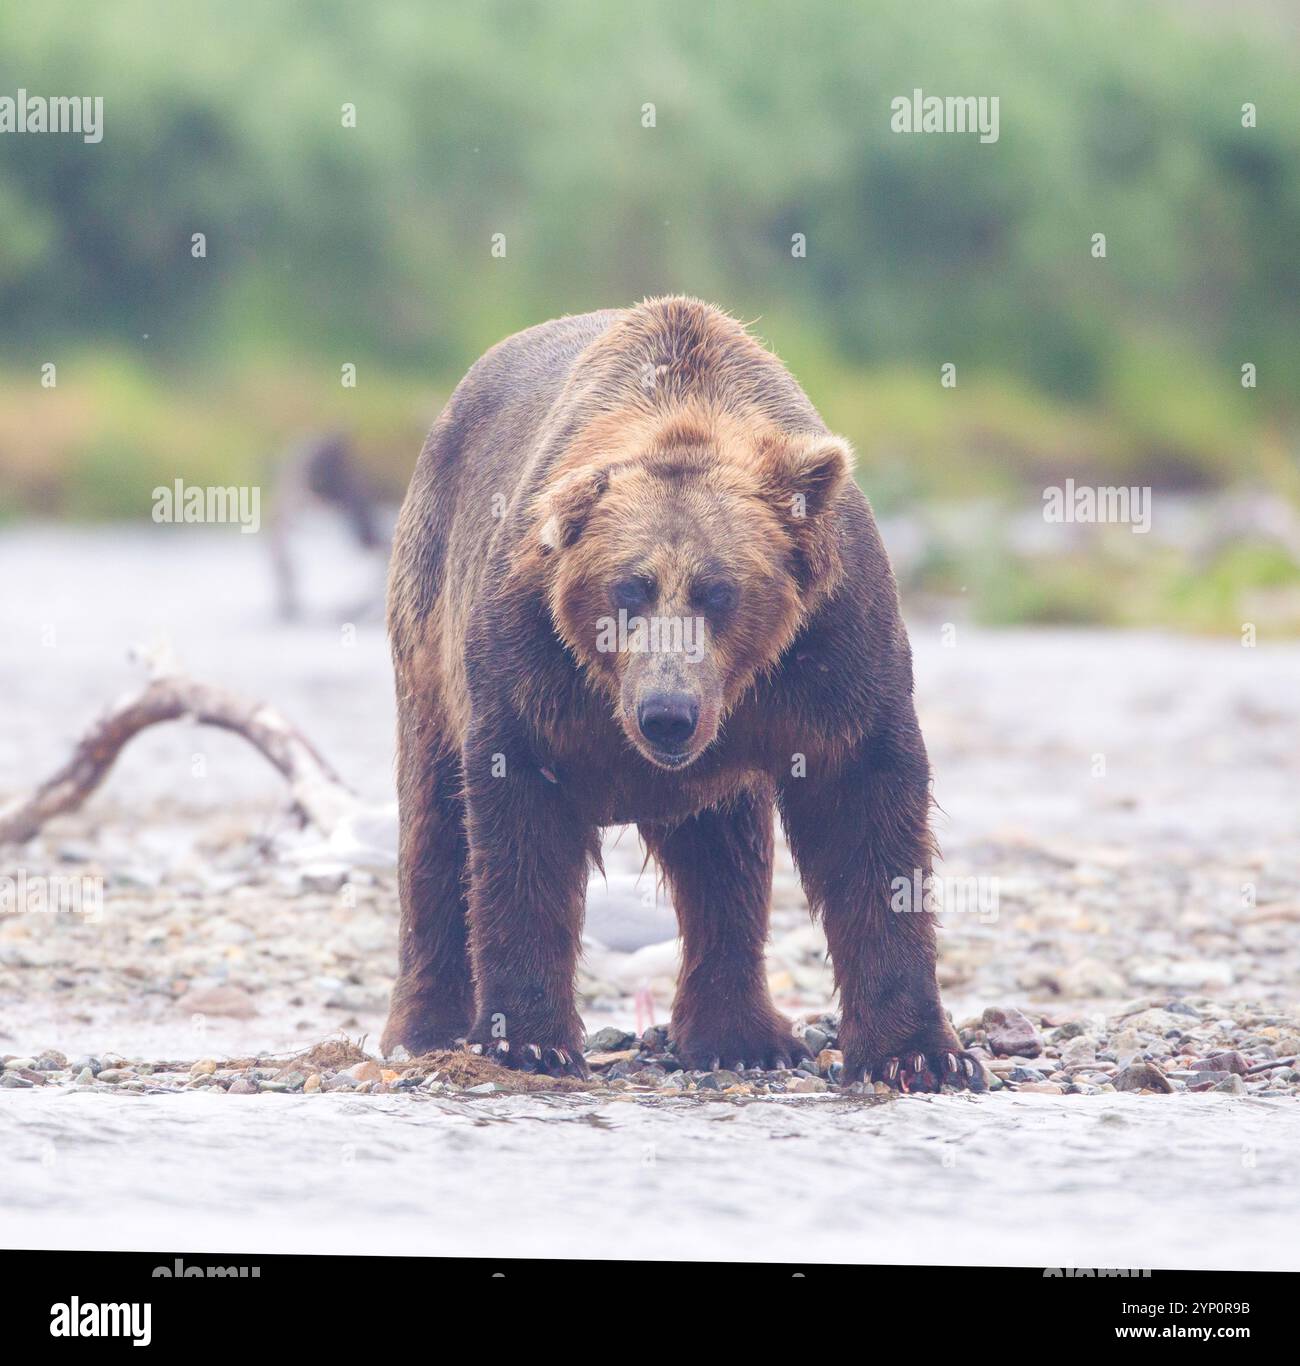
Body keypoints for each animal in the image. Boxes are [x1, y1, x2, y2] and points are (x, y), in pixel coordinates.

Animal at [381, 296, 984, 1092]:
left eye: (718, 592)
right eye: (627, 589)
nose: (666, 714)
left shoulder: (831, 649)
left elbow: (867, 812)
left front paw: (921, 1052)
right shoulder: (531, 655)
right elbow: (519, 831)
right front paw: (529, 1041)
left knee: (723, 864)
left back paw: (740, 1035)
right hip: (428, 621)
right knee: (434, 824)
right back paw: (424, 1028)